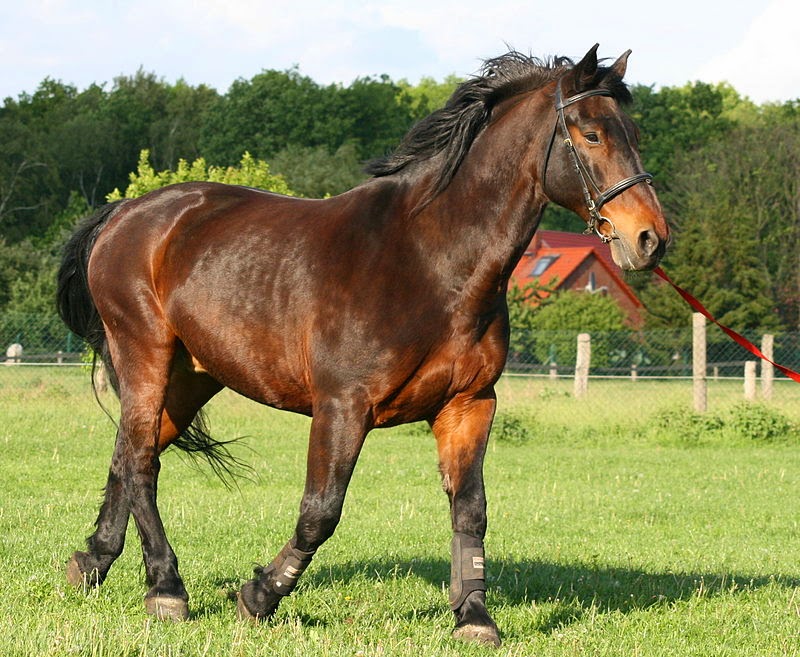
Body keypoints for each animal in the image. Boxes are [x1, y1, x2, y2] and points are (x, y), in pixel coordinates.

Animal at [56, 44, 668, 646]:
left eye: (635, 134)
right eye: (592, 134)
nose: (649, 238)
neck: (430, 262)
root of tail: (126, 214)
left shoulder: (469, 405)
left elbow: (470, 511)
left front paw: (474, 616)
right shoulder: (343, 407)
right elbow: (320, 511)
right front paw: (259, 597)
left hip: (191, 377)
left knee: (129, 453)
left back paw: (92, 563)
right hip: (146, 356)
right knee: (140, 461)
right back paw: (166, 589)